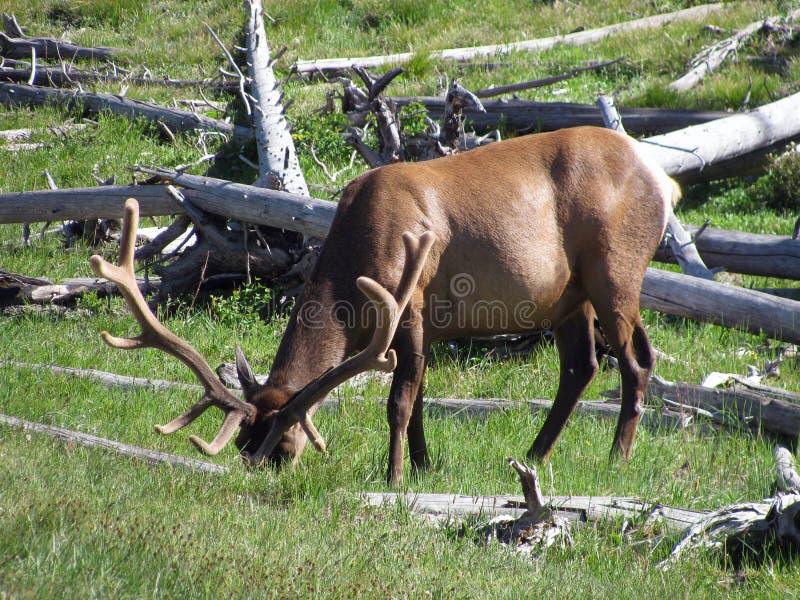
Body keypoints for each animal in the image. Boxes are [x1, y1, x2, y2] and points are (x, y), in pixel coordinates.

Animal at [90, 126, 679, 485]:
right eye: (243, 444)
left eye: (284, 445)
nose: (259, 472)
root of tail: (663, 180)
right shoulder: (417, 325)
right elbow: (417, 400)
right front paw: (421, 467)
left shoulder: (409, 305)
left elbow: (398, 401)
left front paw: (394, 477)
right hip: (568, 297)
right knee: (582, 365)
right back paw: (534, 456)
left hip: (616, 271)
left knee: (635, 362)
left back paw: (617, 457)